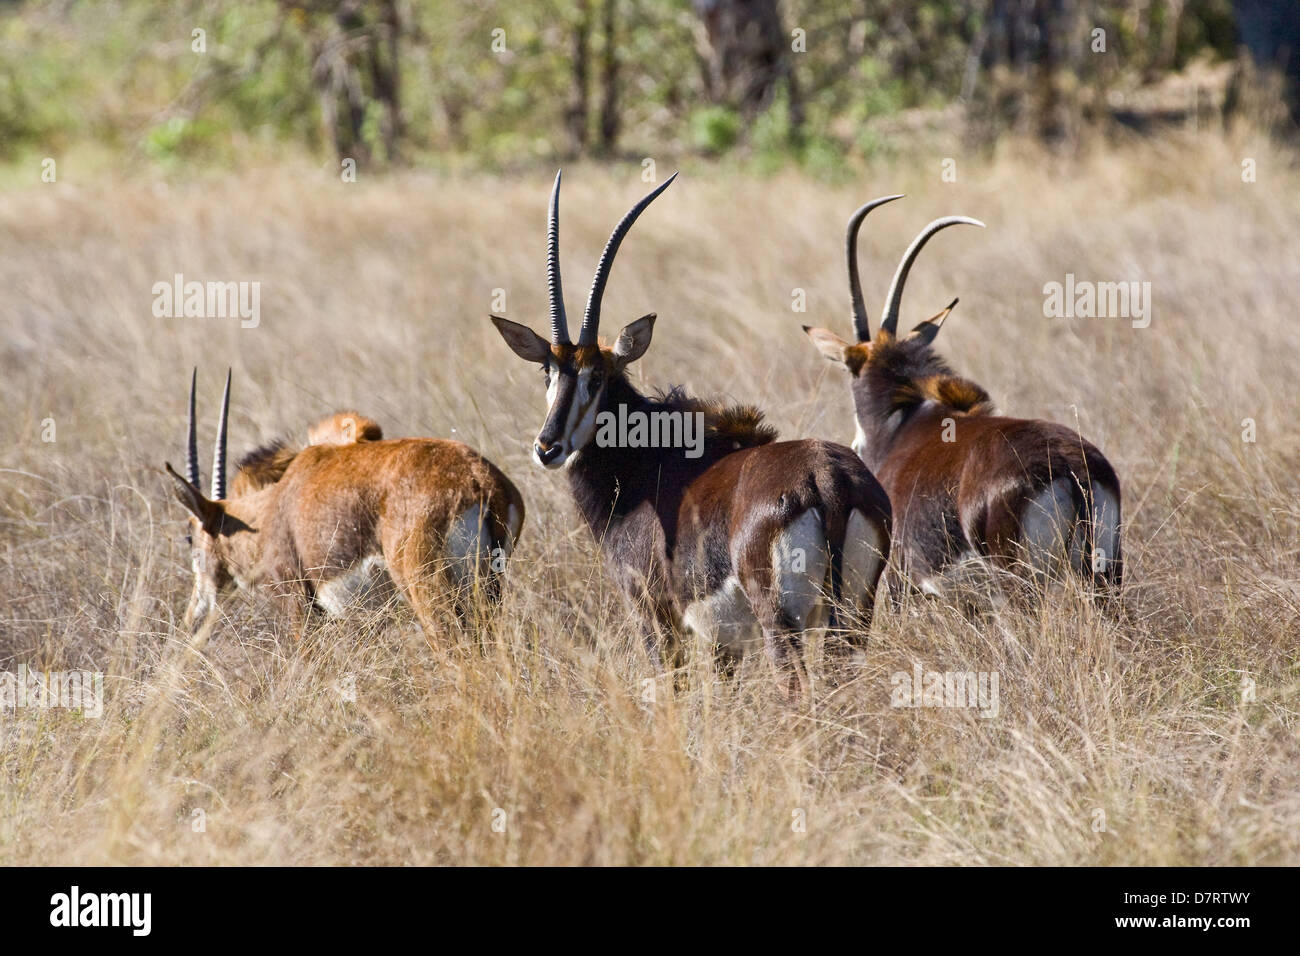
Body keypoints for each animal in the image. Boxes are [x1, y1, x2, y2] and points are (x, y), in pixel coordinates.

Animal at [164, 369, 525, 636]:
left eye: (189, 536)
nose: (193, 617)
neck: (269, 509)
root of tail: (480, 478)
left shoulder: (296, 601)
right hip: (487, 591)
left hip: (429, 590)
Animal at [489, 172, 891, 697]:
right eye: (548, 372)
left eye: (597, 377)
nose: (547, 447)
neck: (647, 465)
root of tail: (828, 480)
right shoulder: (724, 640)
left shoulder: (654, 615)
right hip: (853, 615)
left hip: (779, 621)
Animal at [801, 196, 1122, 599]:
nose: (856, 445)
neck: (895, 427)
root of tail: (1072, 467)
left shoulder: (902, 580)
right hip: (1106, 577)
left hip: (1018, 583)